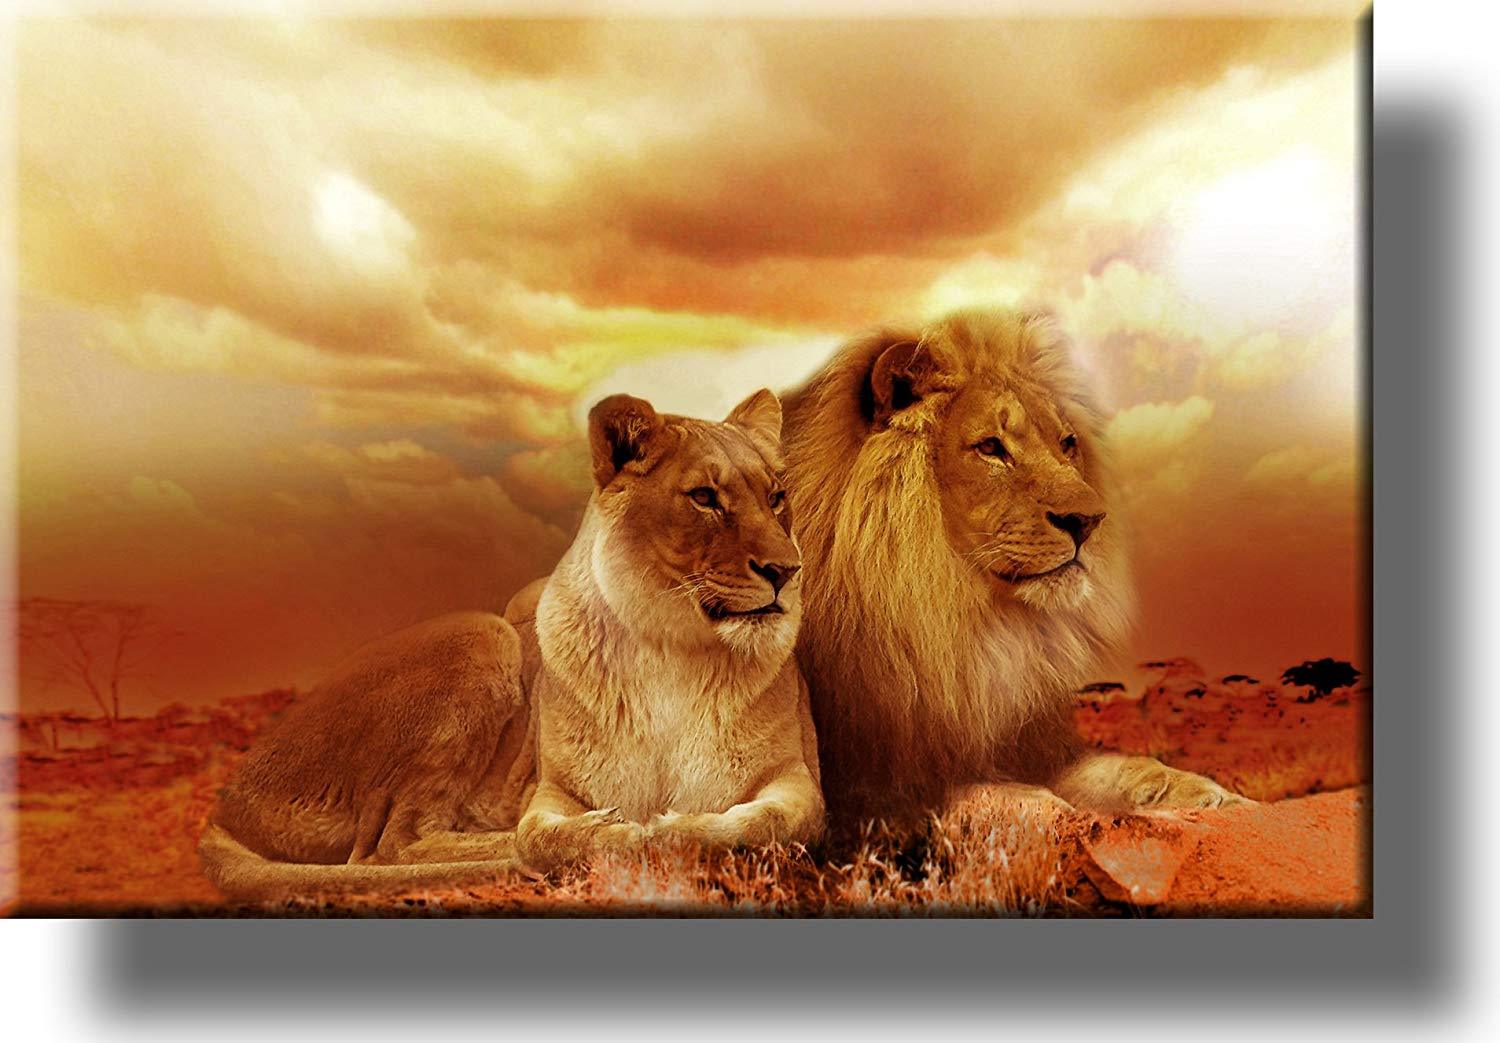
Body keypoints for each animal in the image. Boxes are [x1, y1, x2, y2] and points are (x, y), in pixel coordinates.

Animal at [199, 390, 823, 899]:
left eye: (777, 497)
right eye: (704, 497)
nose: (786, 570)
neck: (673, 646)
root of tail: (227, 802)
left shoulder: (798, 779)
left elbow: (767, 821)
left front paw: (672, 828)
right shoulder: (552, 789)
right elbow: (539, 835)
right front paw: (614, 831)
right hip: (485, 632)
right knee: (393, 844)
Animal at [782, 308, 1244, 827]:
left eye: (1067, 444)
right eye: (991, 447)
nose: (1089, 520)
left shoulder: (1031, 745)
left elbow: (1121, 767)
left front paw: (1207, 794)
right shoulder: (866, 793)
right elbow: (979, 789)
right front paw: (1048, 813)